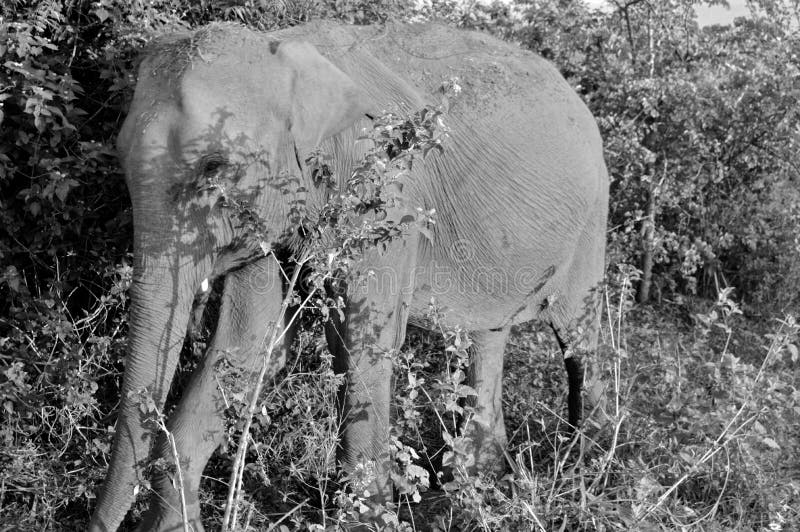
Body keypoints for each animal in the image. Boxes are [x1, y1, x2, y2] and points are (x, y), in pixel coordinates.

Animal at [89, 20, 608, 531]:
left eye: (215, 168)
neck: (285, 51)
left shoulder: (387, 190)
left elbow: (364, 343)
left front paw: (369, 519)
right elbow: (247, 346)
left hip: (592, 222)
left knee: (580, 340)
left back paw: (588, 471)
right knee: (489, 334)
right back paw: (474, 484)